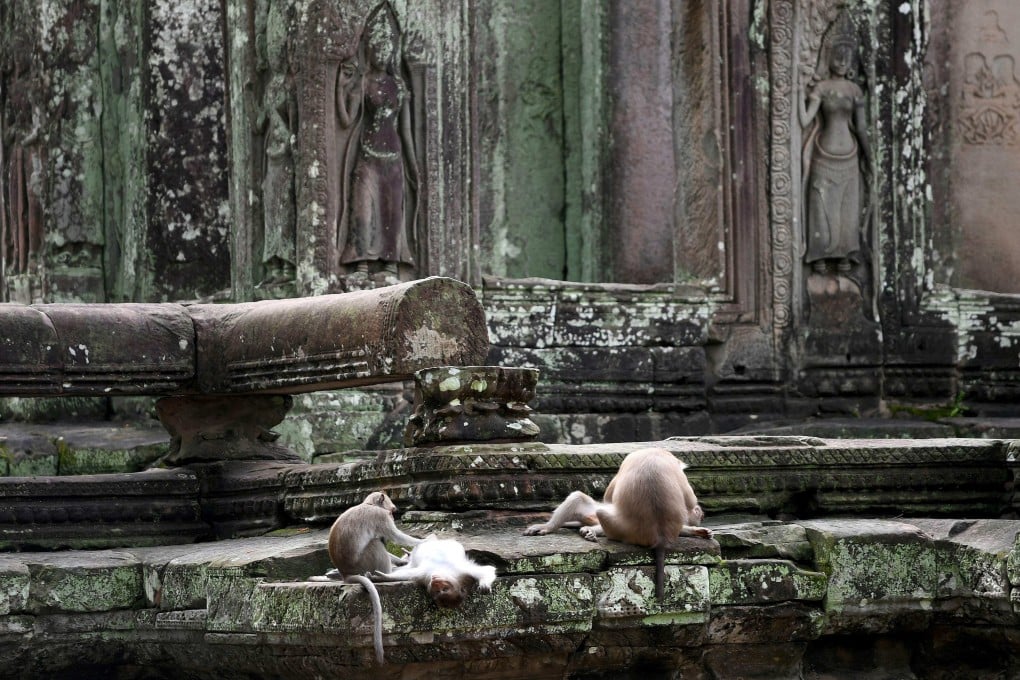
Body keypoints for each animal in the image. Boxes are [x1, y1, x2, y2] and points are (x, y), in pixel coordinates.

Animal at [324, 491, 423, 664]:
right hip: (364, 563)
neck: (369, 505)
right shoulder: (379, 517)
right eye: (391, 511)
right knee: (375, 543)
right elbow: (397, 537)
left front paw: (403, 559)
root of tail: (345, 573)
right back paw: (390, 572)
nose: (392, 515)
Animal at [523, 446, 712, 600]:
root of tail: (660, 538)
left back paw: (586, 530)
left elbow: (609, 494)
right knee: (583, 501)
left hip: (619, 529)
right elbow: (690, 503)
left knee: (593, 508)